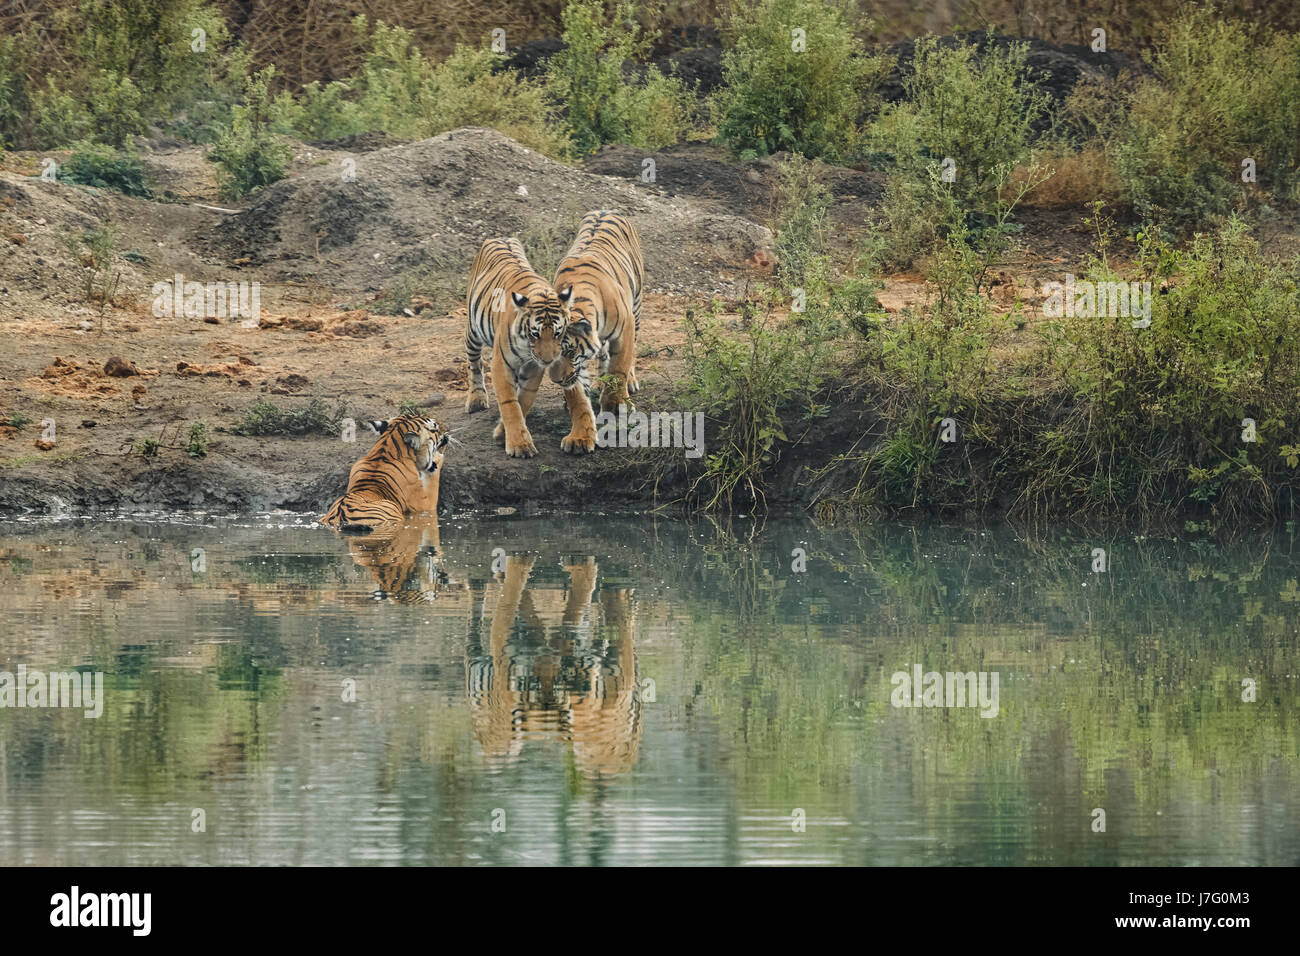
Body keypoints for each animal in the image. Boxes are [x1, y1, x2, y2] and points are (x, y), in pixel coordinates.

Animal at [319, 415, 450, 534]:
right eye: (435, 428)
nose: (446, 429)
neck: (383, 452)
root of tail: (341, 520)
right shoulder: (424, 505)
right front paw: (439, 457)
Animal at [463, 237, 581, 458]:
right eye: (535, 334)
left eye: (558, 333)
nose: (548, 360)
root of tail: (498, 237)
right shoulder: (501, 364)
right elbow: (510, 403)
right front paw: (519, 445)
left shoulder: (533, 367)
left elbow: (524, 399)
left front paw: (503, 432)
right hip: (473, 331)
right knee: (474, 364)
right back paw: (476, 399)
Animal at [552, 211, 644, 437]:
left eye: (568, 351)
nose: (557, 380)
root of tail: (606, 210)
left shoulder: (625, 328)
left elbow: (619, 366)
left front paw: (616, 405)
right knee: (603, 355)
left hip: (637, 305)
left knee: (631, 352)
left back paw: (630, 382)